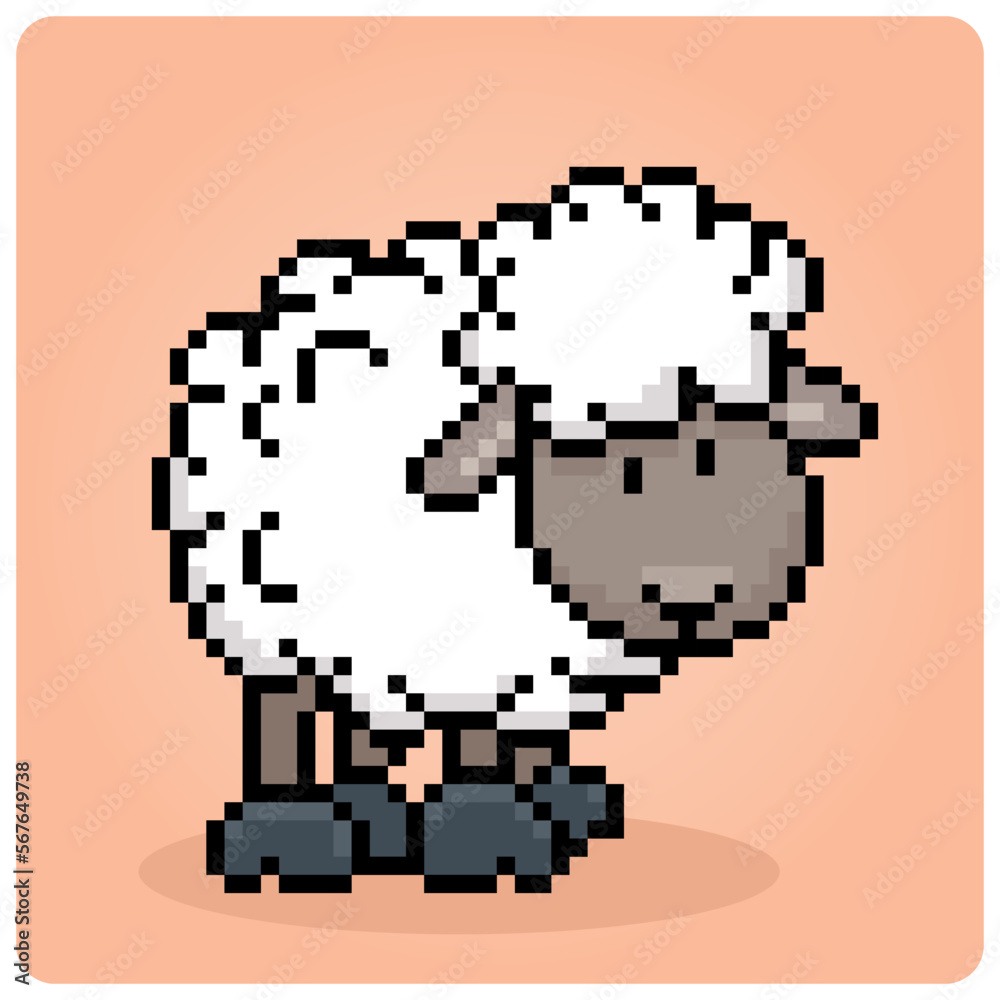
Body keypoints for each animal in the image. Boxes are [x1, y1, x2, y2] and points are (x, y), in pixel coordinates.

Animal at [153, 165, 877, 893]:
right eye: (619, 468)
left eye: (743, 452)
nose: (695, 597)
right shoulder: (473, 646)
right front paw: (486, 842)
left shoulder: (537, 661)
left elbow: (517, 739)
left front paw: (524, 820)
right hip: (269, 609)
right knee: (289, 706)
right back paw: (291, 835)